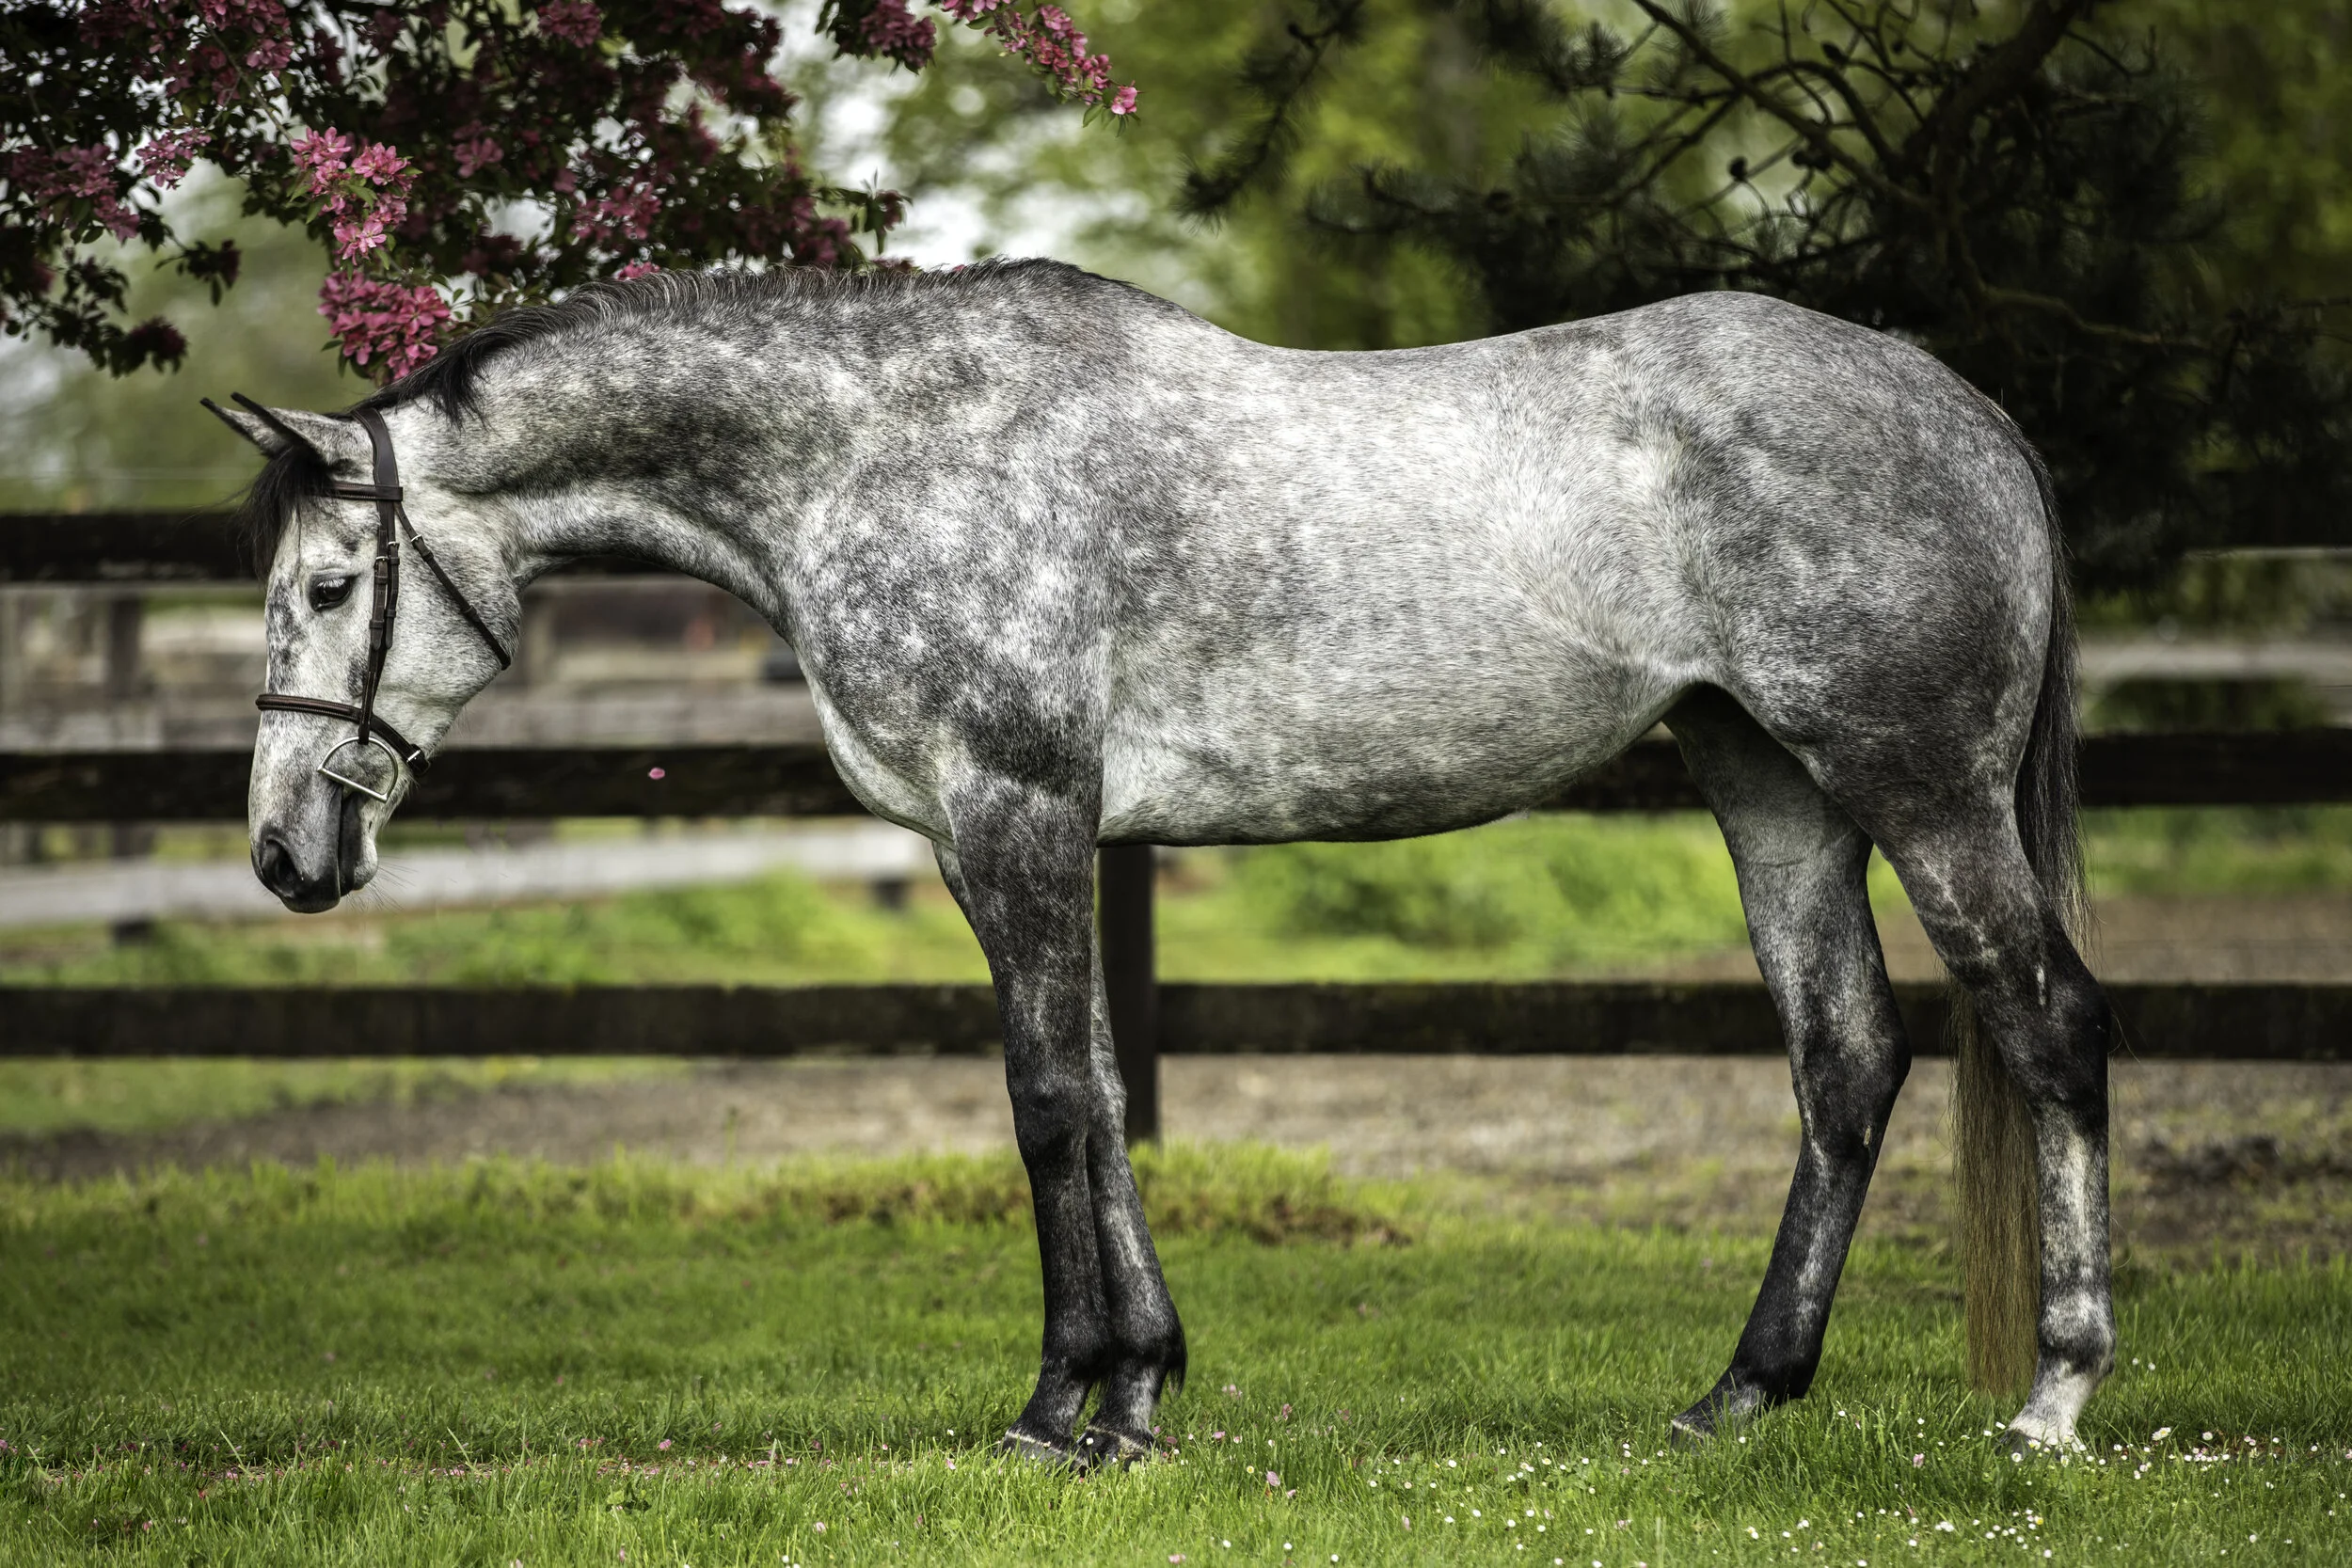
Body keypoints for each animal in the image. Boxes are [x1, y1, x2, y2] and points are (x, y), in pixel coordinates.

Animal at [209, 259, 2113, 1463]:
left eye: (327, 584)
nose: (285, 850)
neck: (883, 454)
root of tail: (1964, 403)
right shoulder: (1013, 843)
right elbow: (1103, 1093)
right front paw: (1135, 1392)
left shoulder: (1019, 815)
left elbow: (1051, 1098)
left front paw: (1066, 1406)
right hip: (1771, 783)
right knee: (1845, 1056)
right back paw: (1739, 1396)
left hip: (1918, 786)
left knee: (2050, 1022)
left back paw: (2056, 1398)